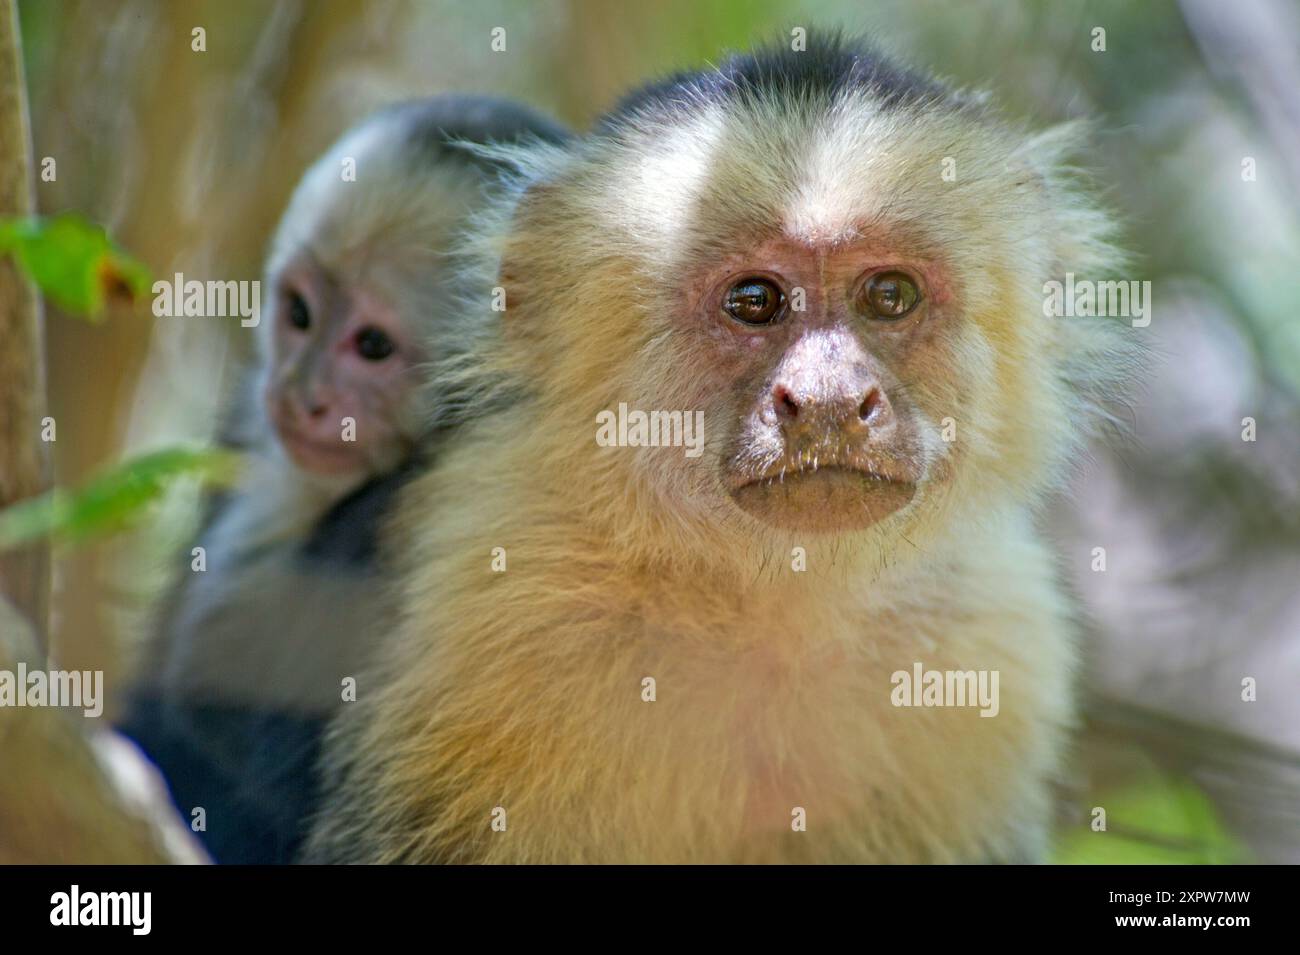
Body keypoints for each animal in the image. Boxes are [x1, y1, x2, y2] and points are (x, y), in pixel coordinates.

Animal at [304, 34, 1138, 864]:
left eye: (889, 295)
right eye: (755, 301)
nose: (829, 398)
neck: (771, 603)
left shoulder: (997, 639)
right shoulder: (483, 580)